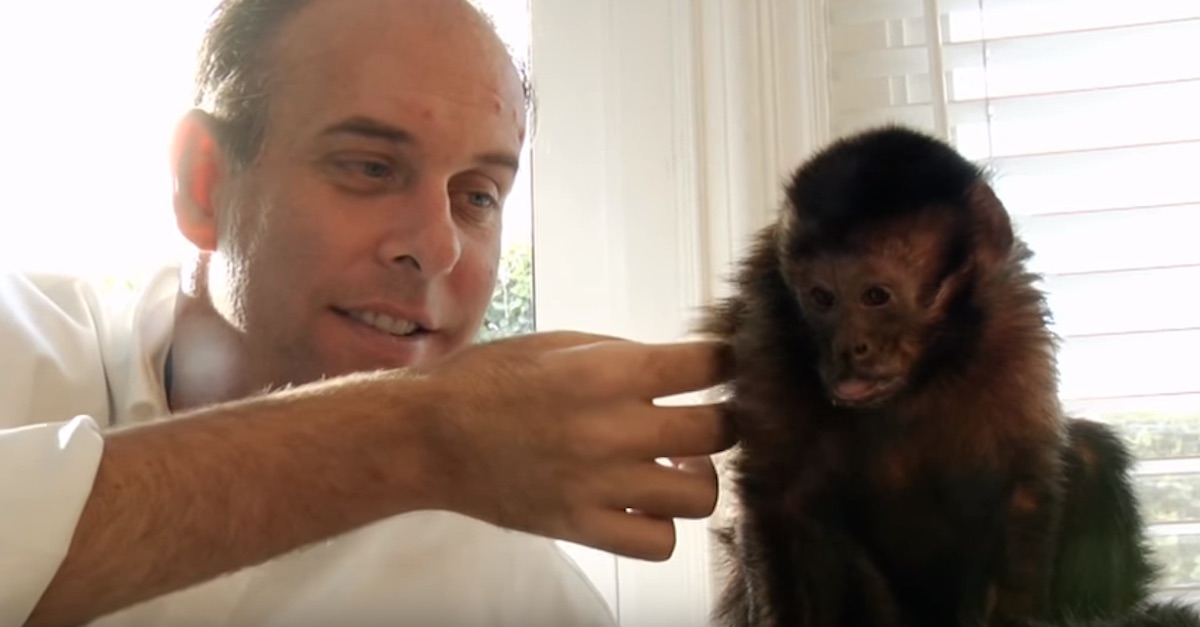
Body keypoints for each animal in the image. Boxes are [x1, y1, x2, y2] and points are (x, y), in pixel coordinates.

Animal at [698, 124, 1200, 627]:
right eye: (821, 298)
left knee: (1091, 453)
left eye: (875, 296)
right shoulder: (765, 323)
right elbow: (783, 499)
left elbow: (1019, 490)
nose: (848, 347)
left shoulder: (1012, 324)